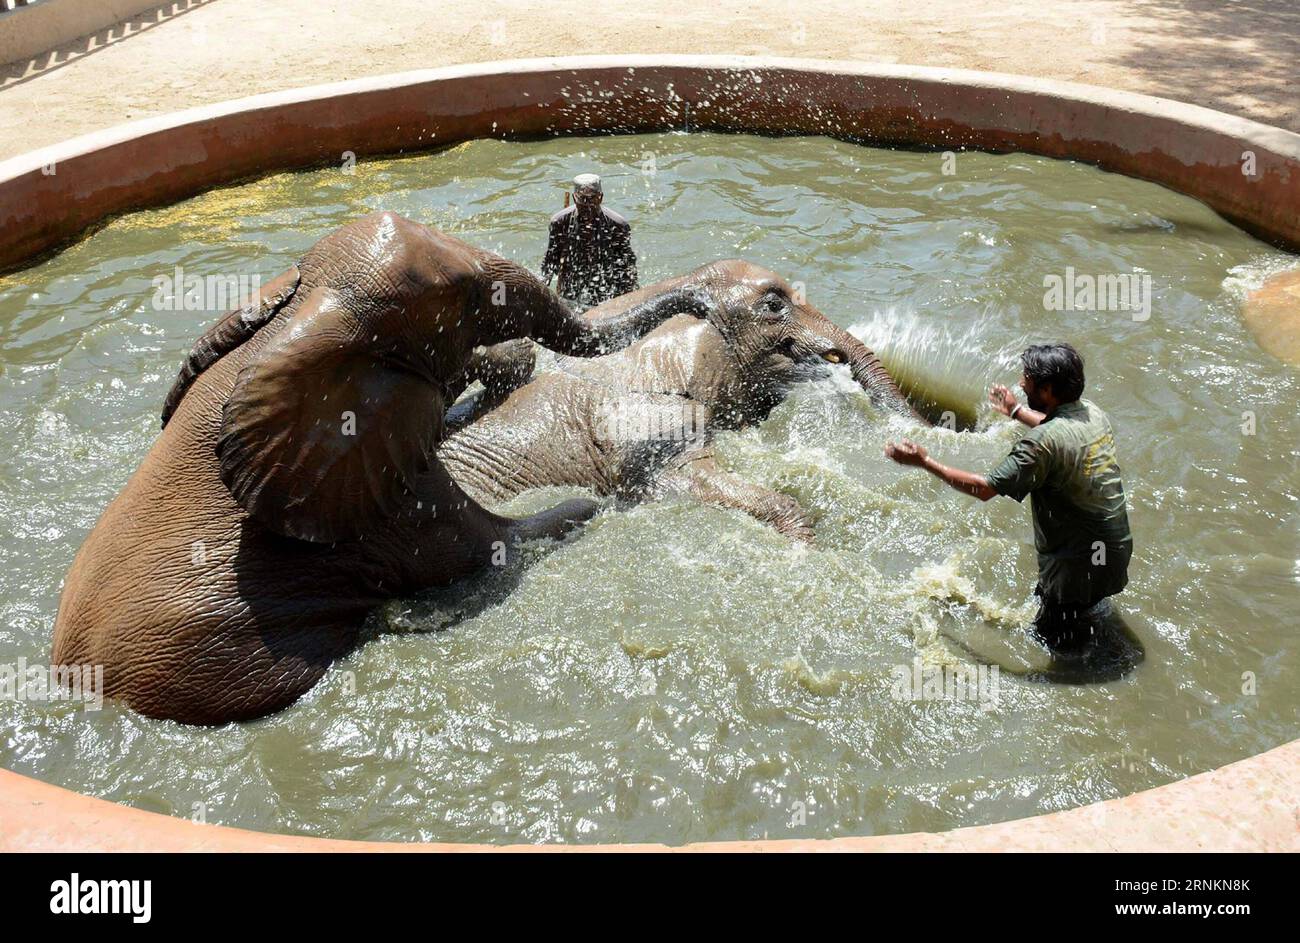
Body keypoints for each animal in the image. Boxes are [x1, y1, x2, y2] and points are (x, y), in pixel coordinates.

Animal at [50, 211, 712, 725]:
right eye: (470, 297)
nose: (703, 300)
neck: (297, 321)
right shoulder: (381, 510)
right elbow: (493, 542)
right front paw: (592, 504)